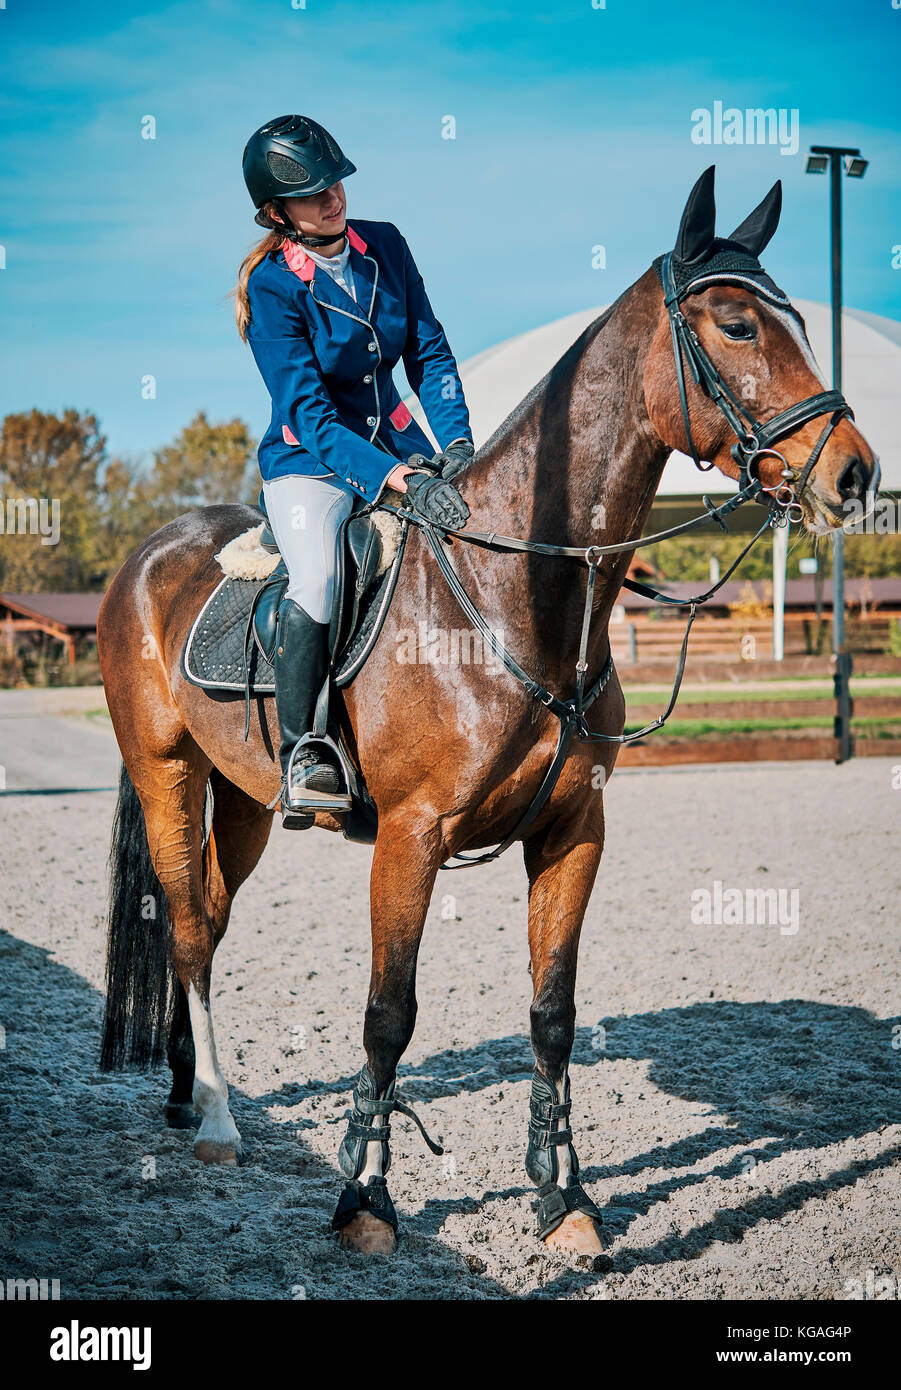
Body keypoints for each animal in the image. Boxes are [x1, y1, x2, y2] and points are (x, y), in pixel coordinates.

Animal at [97, 167, 878, 1258]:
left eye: (799, 320)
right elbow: (388, 1013)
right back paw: (213, 1118)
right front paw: (365, 1199)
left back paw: (184, 1092)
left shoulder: (573, 829)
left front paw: (565, 1198)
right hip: (166, 770)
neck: (522, 599)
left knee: (206, 909)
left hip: (244, 799)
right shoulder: (410, 838)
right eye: (734, 324)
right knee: (185, 927)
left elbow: (552, 1012)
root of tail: (153, 548)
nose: (854, 473)